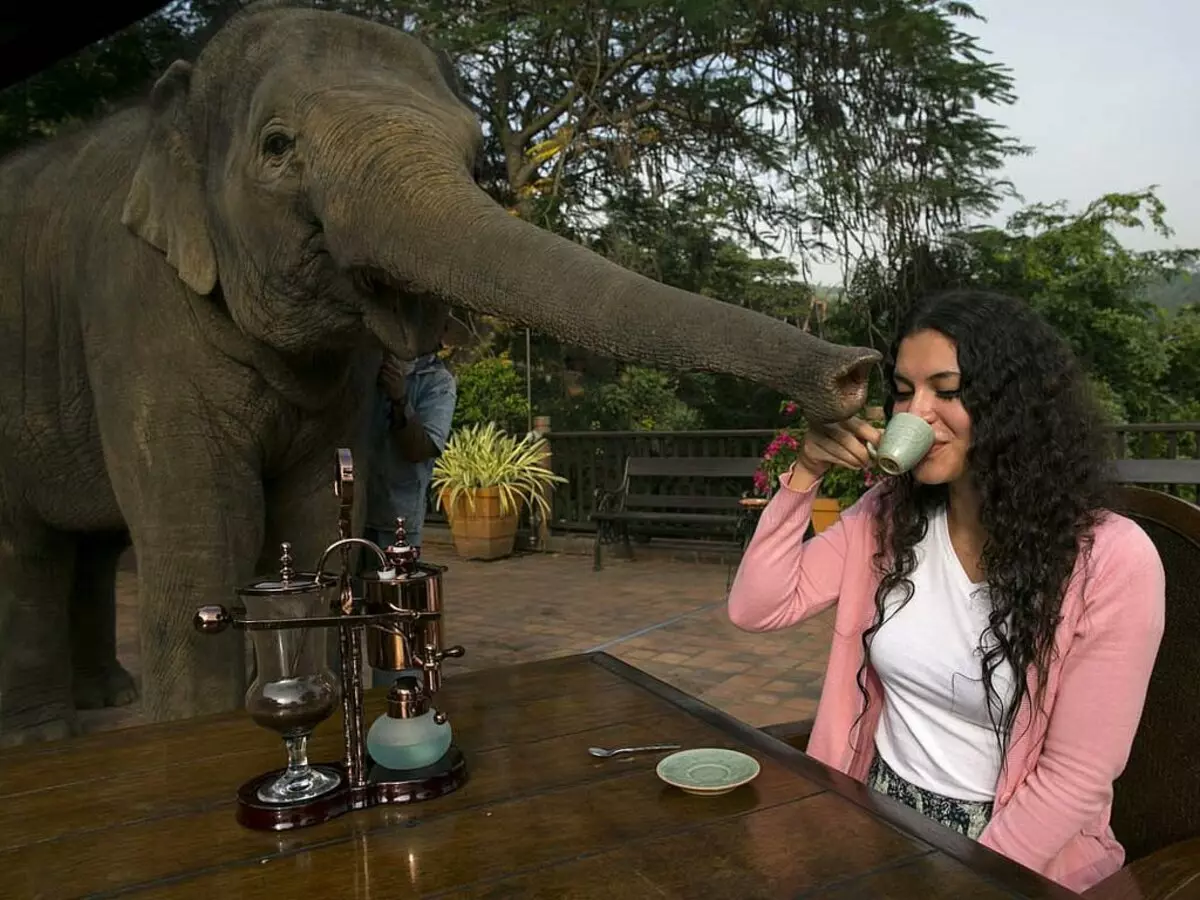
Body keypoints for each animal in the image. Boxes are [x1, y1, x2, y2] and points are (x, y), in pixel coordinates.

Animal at [0, 0, 883, 748]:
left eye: (471, 149)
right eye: (277, 146)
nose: (857, 372)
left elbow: (311, 517)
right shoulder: (133, 301)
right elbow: (205, 532)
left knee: (85, 549)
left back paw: (103, 700)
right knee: (31, 552)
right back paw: (44, 736)